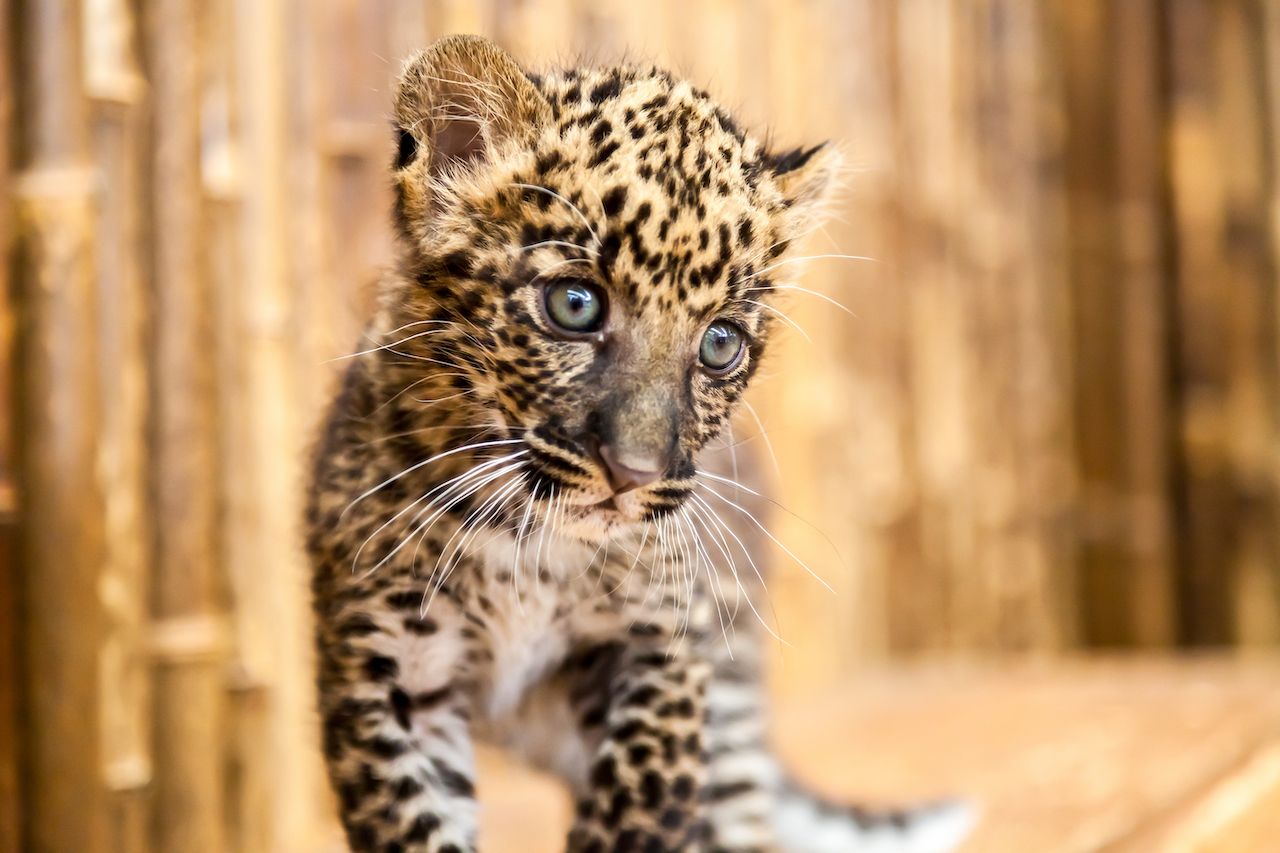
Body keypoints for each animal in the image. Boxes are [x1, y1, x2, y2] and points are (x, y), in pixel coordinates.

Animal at [306, 34, 975, 853]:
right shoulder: (387, 673)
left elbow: (641, 799)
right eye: (574, 304)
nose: (633, 472)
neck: (526, 544)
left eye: (720, 343)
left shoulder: (664, 647)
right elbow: (415, 825)